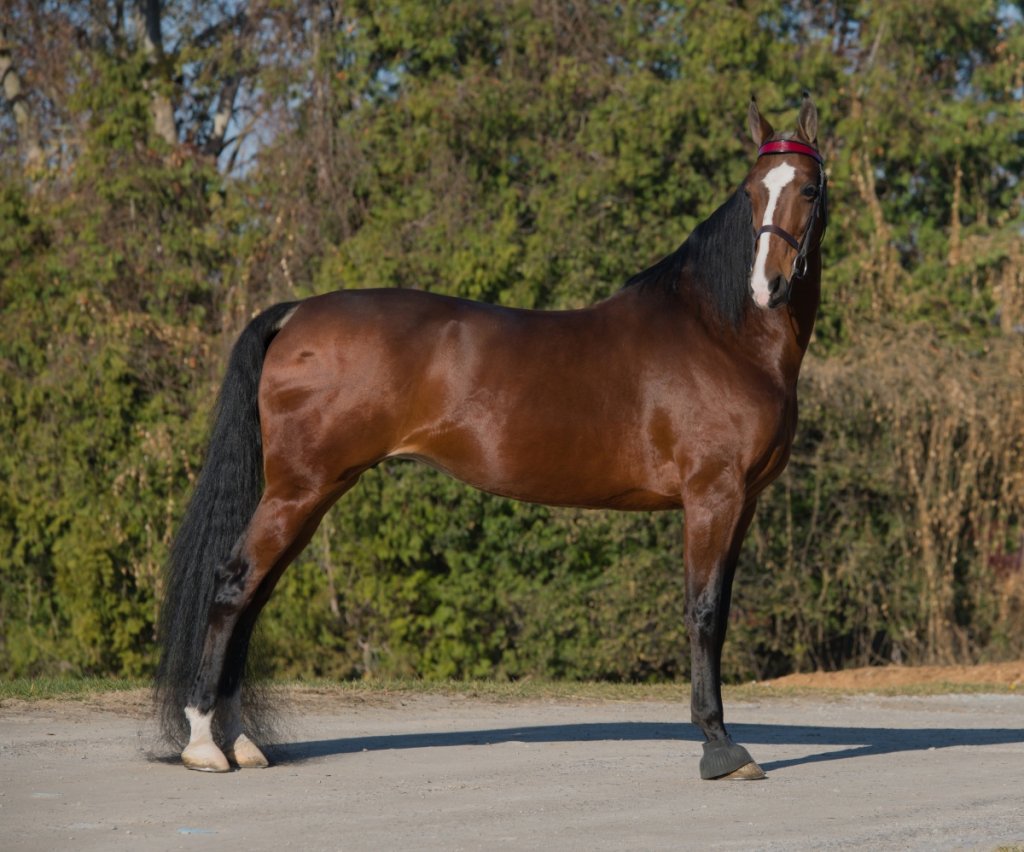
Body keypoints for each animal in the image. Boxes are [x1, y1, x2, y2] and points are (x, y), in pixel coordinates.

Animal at [155, 93, 828, 781]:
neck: (720, 333)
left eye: (809, 187)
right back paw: (205, 742)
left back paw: (240, 741)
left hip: (311, 495)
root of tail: (295, 314)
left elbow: (718, 614)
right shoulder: (711, 497)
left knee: (254, 596)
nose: (768, 287)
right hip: (297, 491)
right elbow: (704, 614)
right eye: (750, 191)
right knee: (233, 585)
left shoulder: (743, 503)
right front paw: (720, 745)